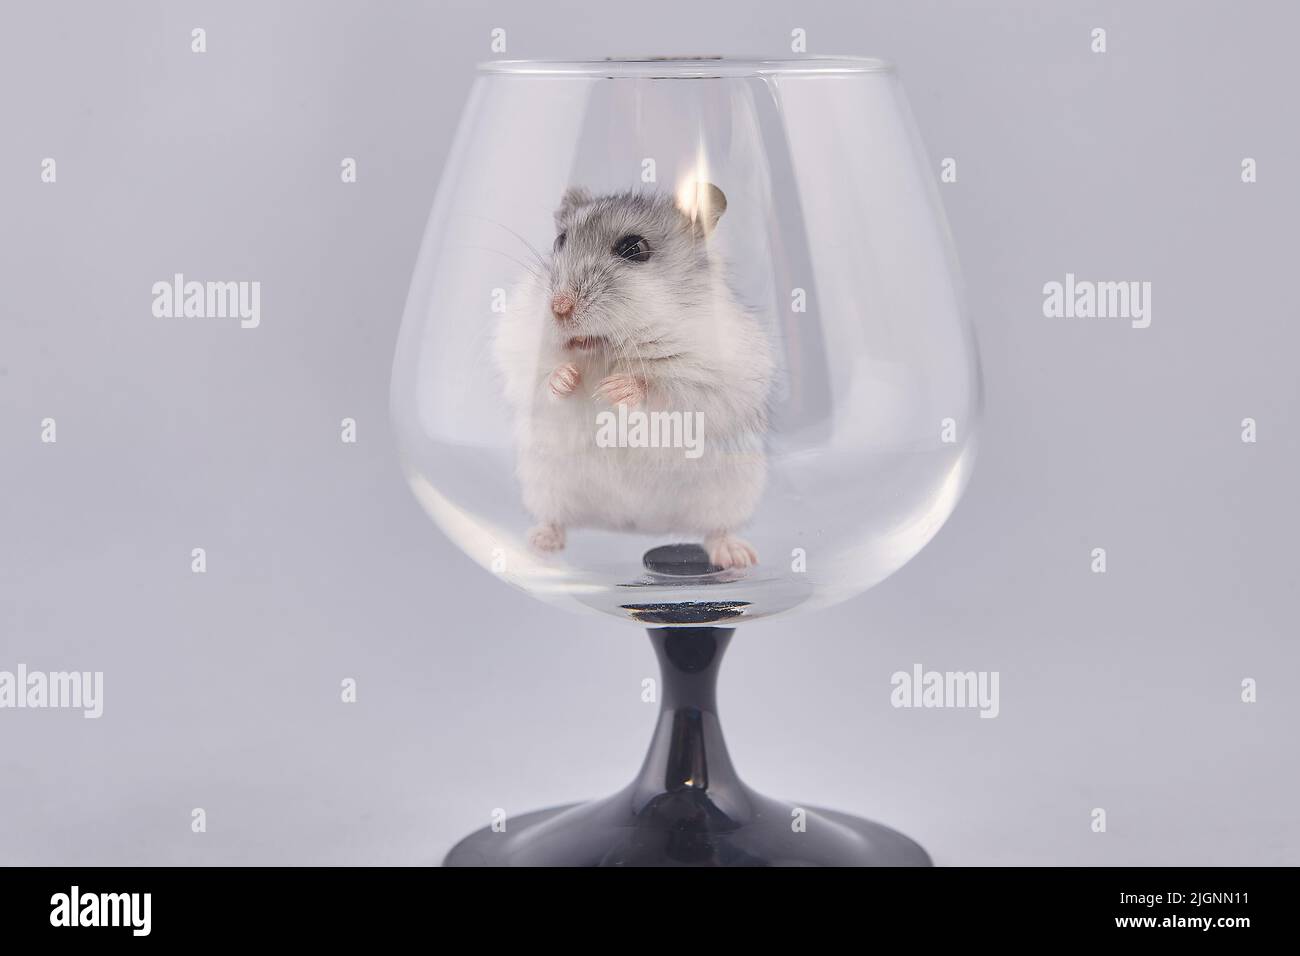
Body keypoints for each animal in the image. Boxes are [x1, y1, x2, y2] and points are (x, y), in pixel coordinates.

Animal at [492, 183, 774, 569]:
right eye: (560, 241)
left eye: (634, 249)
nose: (559, 308)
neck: (604, 349)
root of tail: (634, 524)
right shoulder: (519, 342)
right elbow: (540, 376)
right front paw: (567, 378)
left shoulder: (713, 373)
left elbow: (664, 388)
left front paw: (615, 388)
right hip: (544, 484)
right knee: (555, 518)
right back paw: (540, 542)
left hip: (732, 493)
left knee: (716, 529)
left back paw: (737, 556)